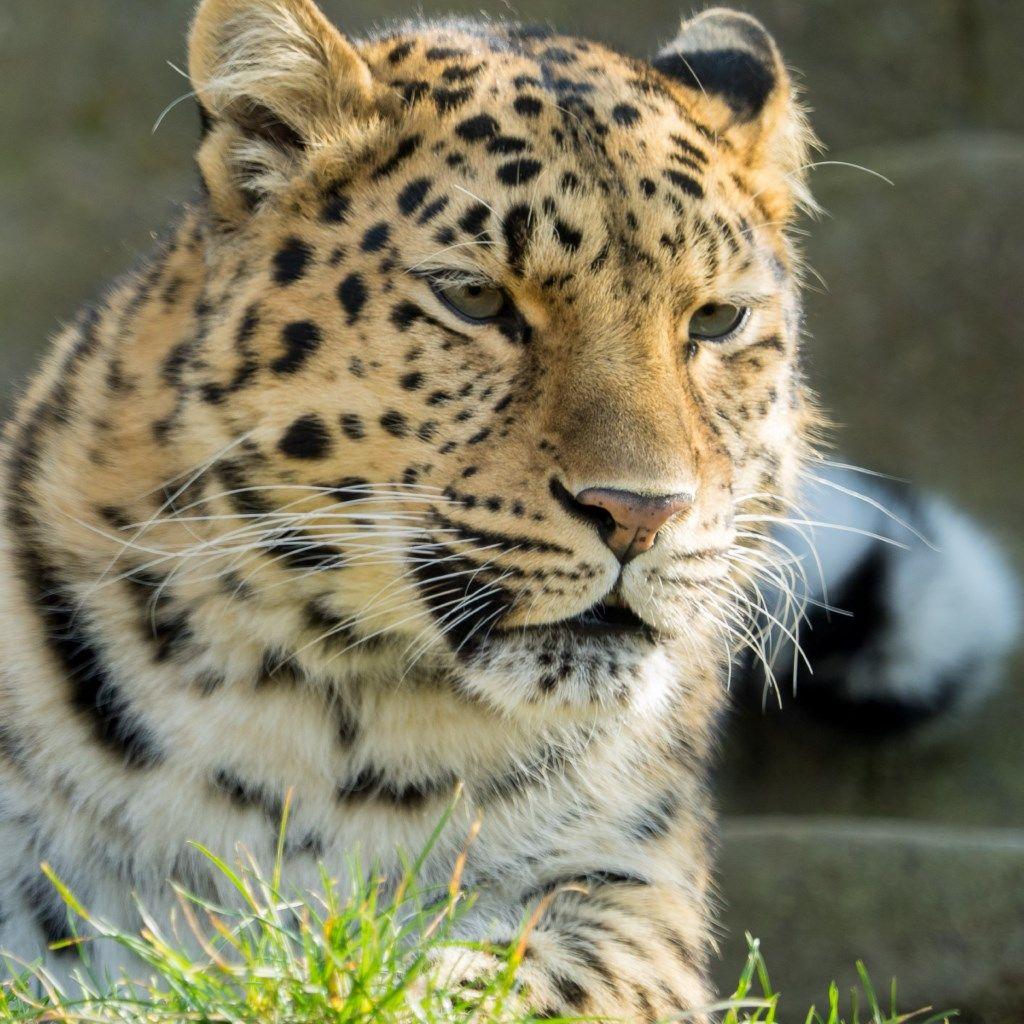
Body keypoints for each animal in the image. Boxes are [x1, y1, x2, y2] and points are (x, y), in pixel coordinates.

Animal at [0, 0, 821, 1015]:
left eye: (714, 320)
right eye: (474, 299)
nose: (640, 513)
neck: (331, 715)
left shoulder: (634, 895)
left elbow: (525, 976)